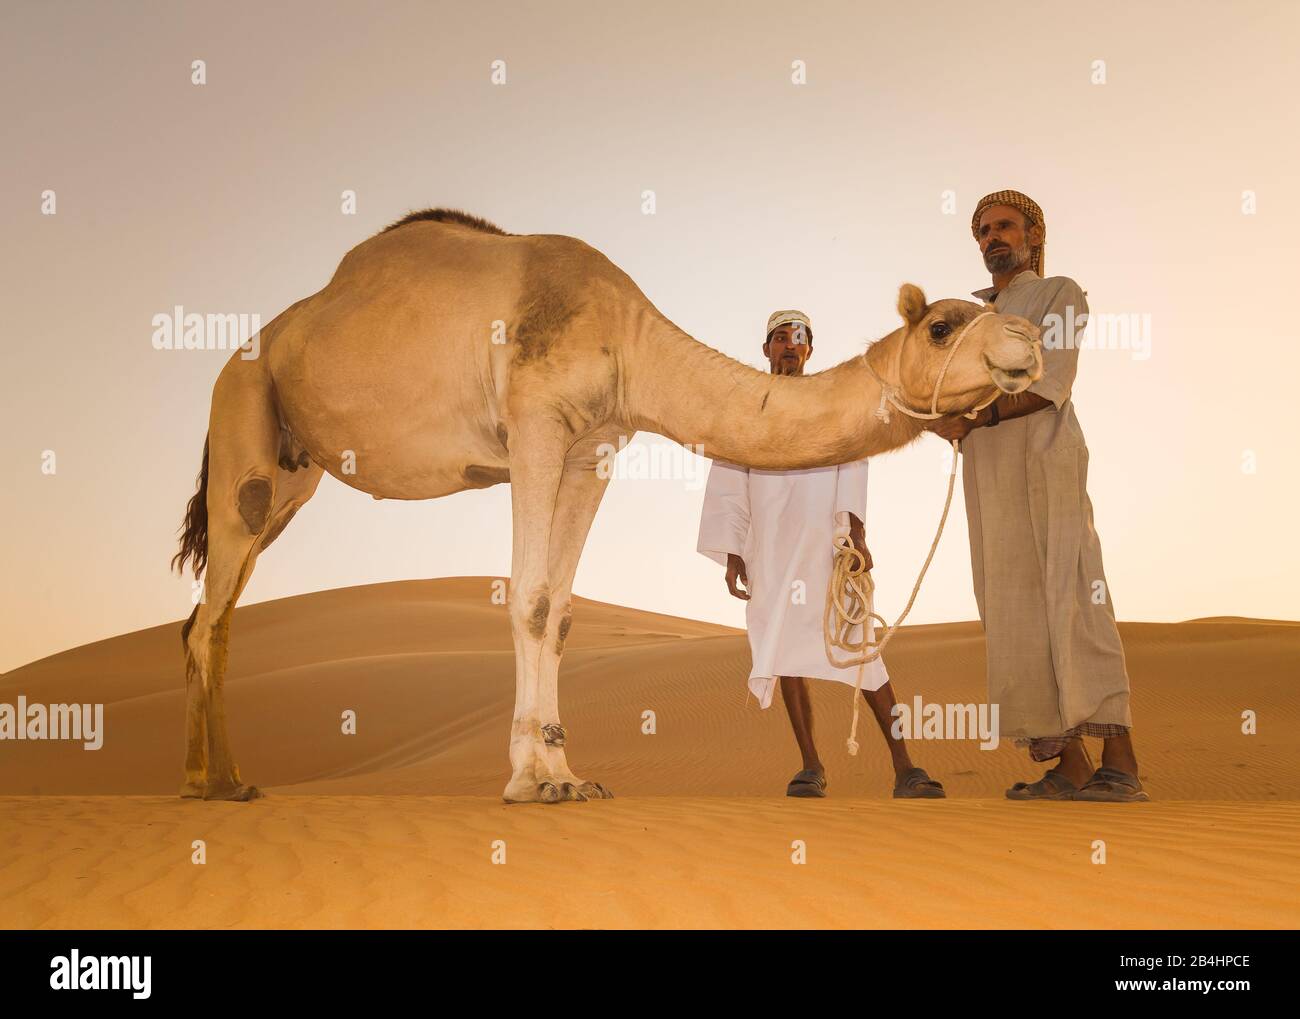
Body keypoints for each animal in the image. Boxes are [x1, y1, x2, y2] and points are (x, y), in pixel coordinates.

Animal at [172, 208, 1042, 804]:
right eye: (943, 325)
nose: (1029, 342)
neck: (628, 340)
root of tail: (243, 353)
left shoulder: (594, 448)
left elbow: (559, 610)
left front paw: (566, 771)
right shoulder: (533, 426)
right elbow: (526, 597)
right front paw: (530, 779)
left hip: (295, 471)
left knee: (210, 616)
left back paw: (214, 776)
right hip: (243, 414)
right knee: (212, 610)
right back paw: (214, 783)